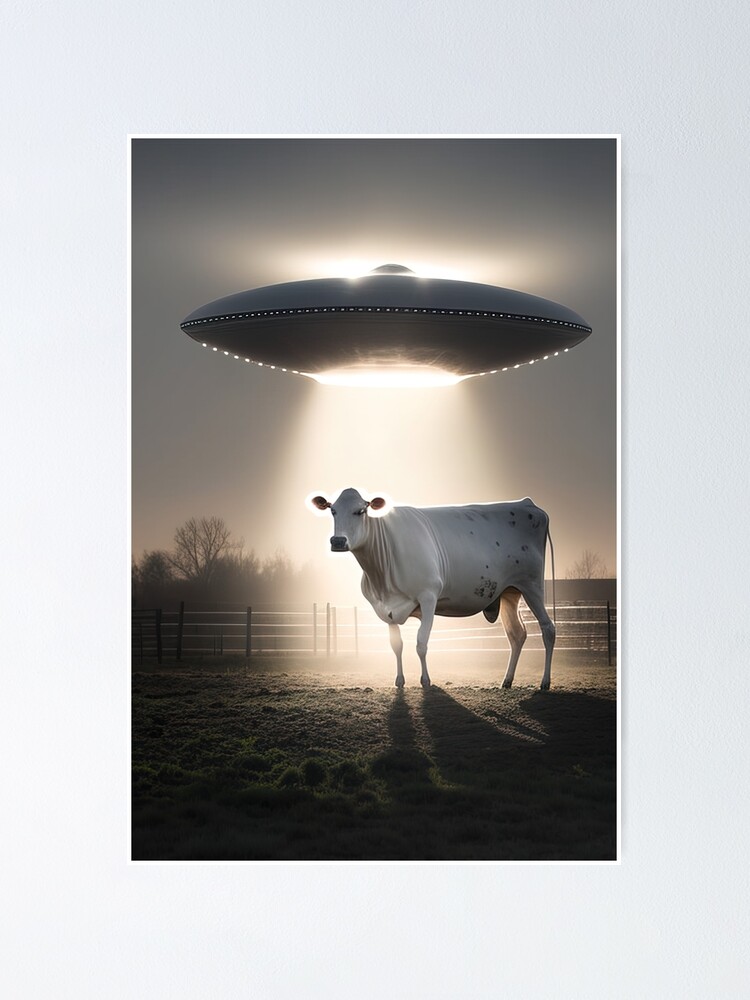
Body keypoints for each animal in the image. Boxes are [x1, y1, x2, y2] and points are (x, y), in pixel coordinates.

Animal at [311, 488, 556, 690]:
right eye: (332, 510)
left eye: (360, 511)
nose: (338, 541)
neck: (381, 577)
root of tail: (528, 503)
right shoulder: (386, 608)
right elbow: (396, 645)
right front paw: (399, 681)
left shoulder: (428, 597)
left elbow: (421, 642)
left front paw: (426, 681)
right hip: (510, 592)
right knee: (516, 634)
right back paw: (507, 680)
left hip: (532, 585)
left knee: (548, 629)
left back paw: (544, 682)